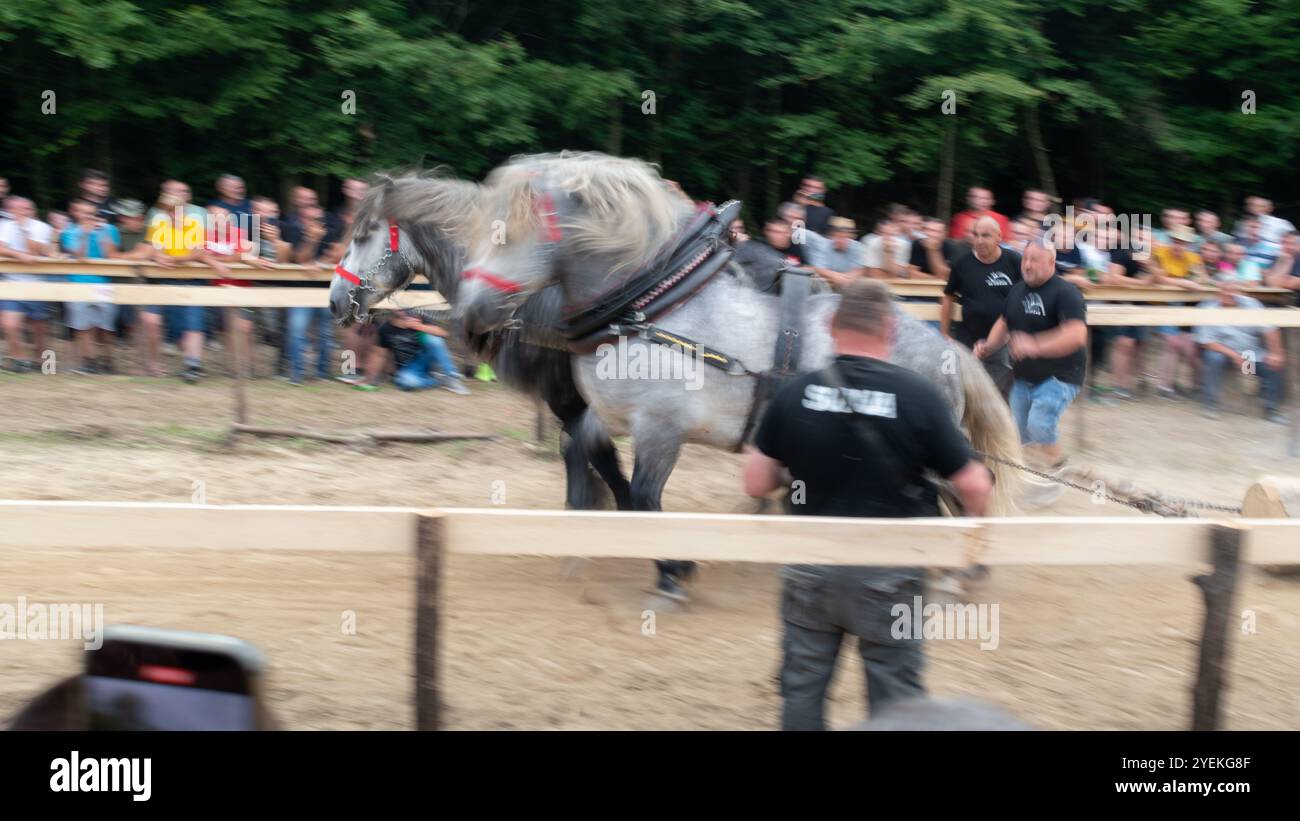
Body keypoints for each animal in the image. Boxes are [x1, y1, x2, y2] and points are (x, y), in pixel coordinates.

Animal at [455, 152, 1022, 596]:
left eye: (506, 234)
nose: (467, 315)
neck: (653, 309)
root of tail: (946, 346)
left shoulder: (661, 428)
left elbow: (645, 496)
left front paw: (674, 570)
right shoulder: (611, 415)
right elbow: (582, 452)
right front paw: (579, 529)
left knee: (968, 486)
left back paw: (957, 569)